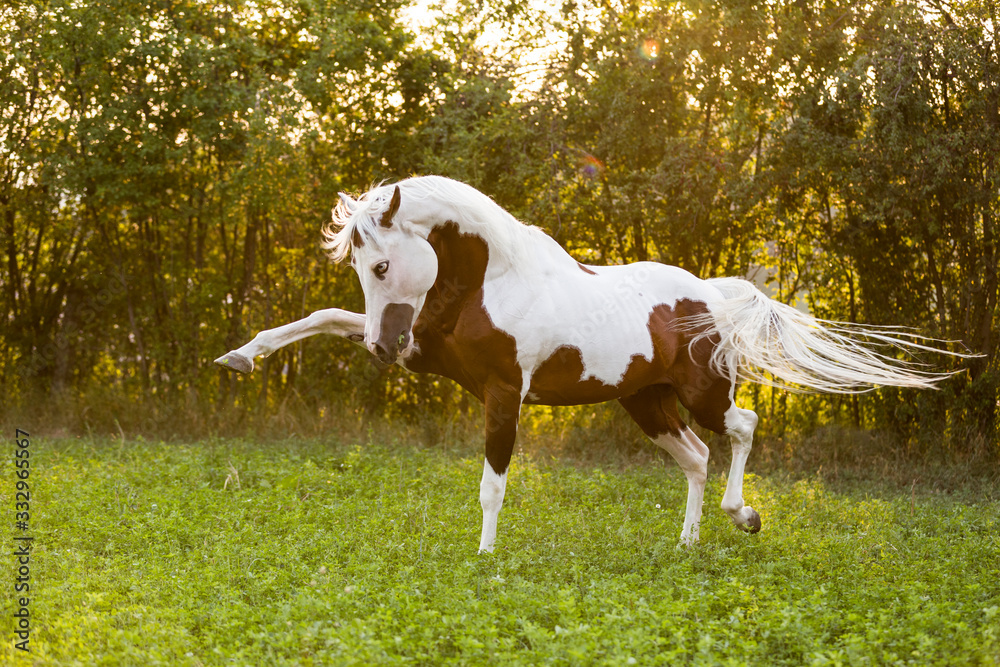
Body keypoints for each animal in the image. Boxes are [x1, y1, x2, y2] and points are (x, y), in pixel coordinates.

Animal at [216, 175, 966, 552]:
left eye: (379, 265)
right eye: (358, 269)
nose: (380, 350)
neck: (490, 279)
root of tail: (712, 295)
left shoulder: (502, 392)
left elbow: (493, 483)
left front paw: (485, 556)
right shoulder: (425, 355)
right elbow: (319, 318)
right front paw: (239, 357)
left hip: (702, 393)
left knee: (743, 426)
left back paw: (743, 516)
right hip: (646, 403)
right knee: (697, 457)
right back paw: (688, 542)